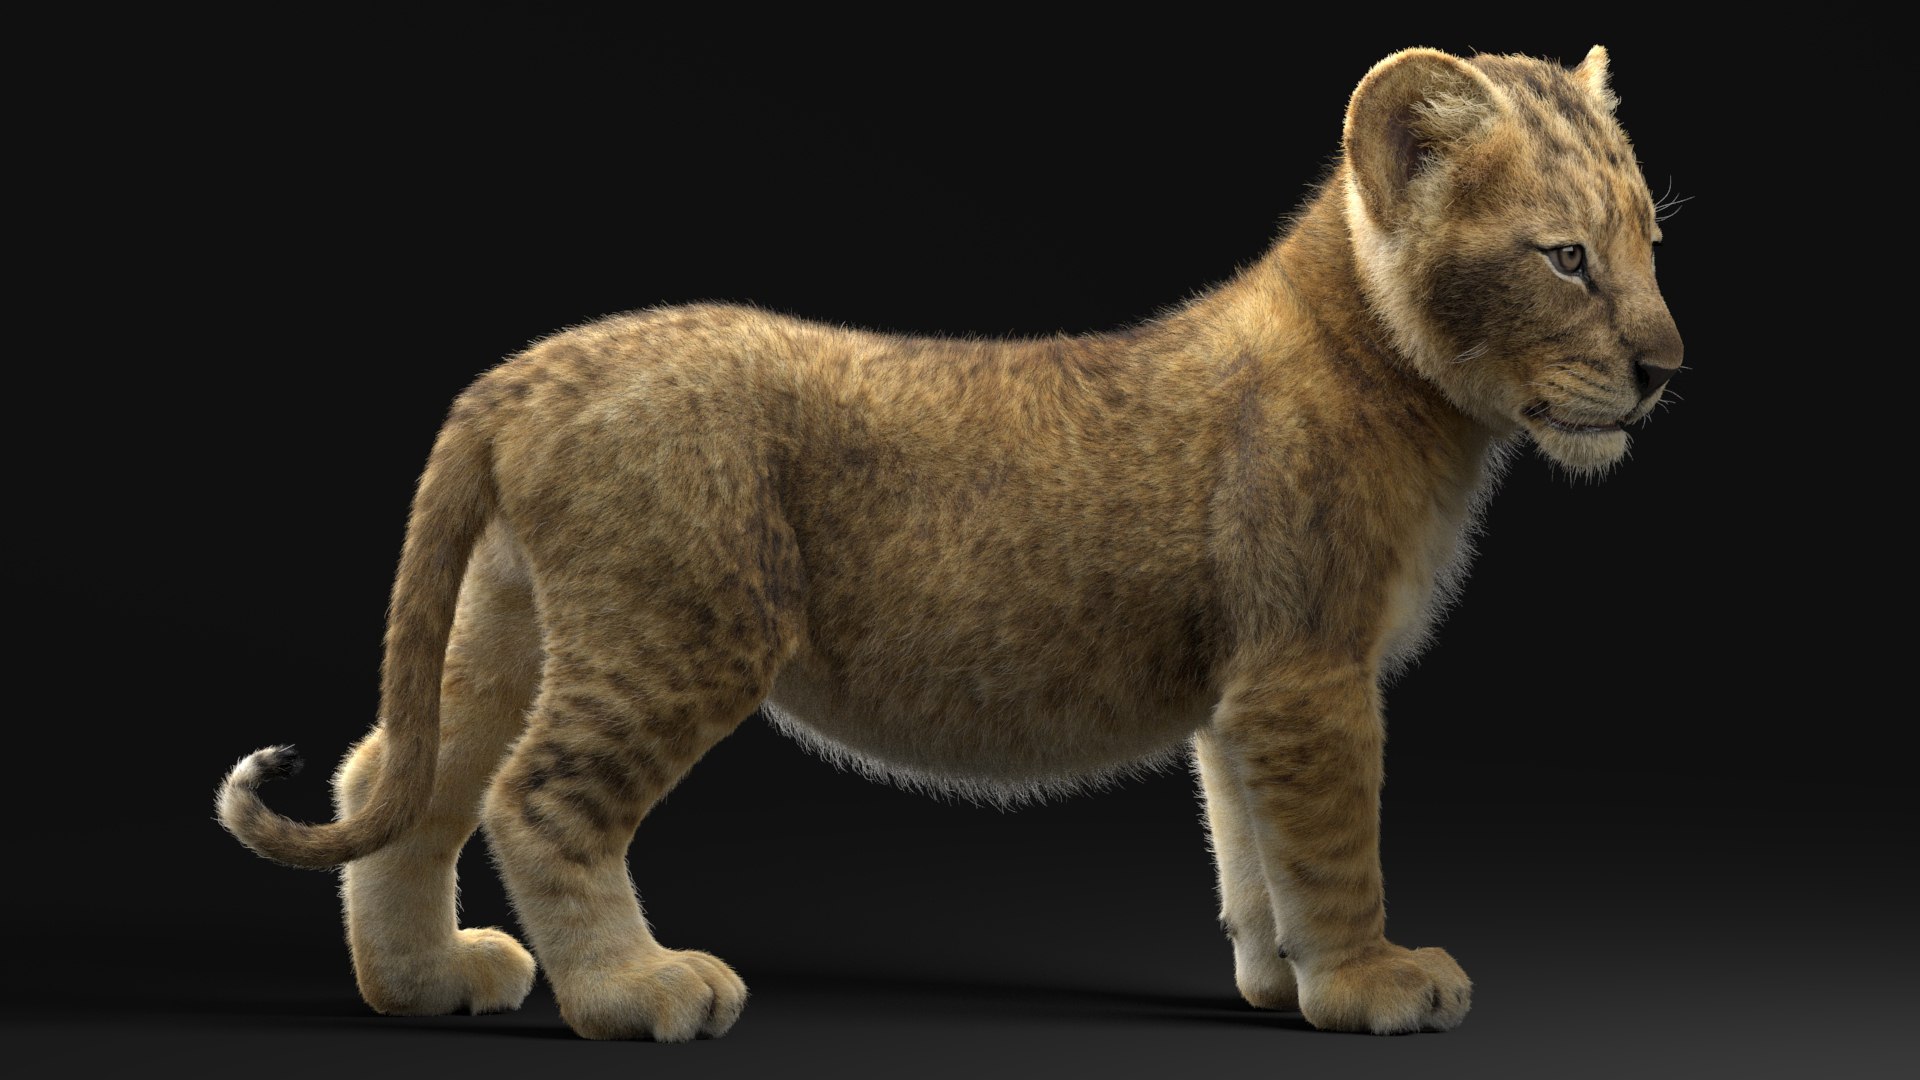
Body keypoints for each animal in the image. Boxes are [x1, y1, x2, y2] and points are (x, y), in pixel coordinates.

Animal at [217, 44, 1682, 1038]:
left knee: (398, 776)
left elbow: (1250, 846)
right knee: (536, 794)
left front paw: (1279, 980)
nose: (1667, 368)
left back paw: (424, 982)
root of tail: (521, 374)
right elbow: (1330, 842)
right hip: (680, 625)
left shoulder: (1243, 685)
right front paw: (1372, 983)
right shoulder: (1306, 665)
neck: (1414, 383)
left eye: (1649, 242)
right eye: (1565, 257)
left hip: (510, 621)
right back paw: (640, 990)